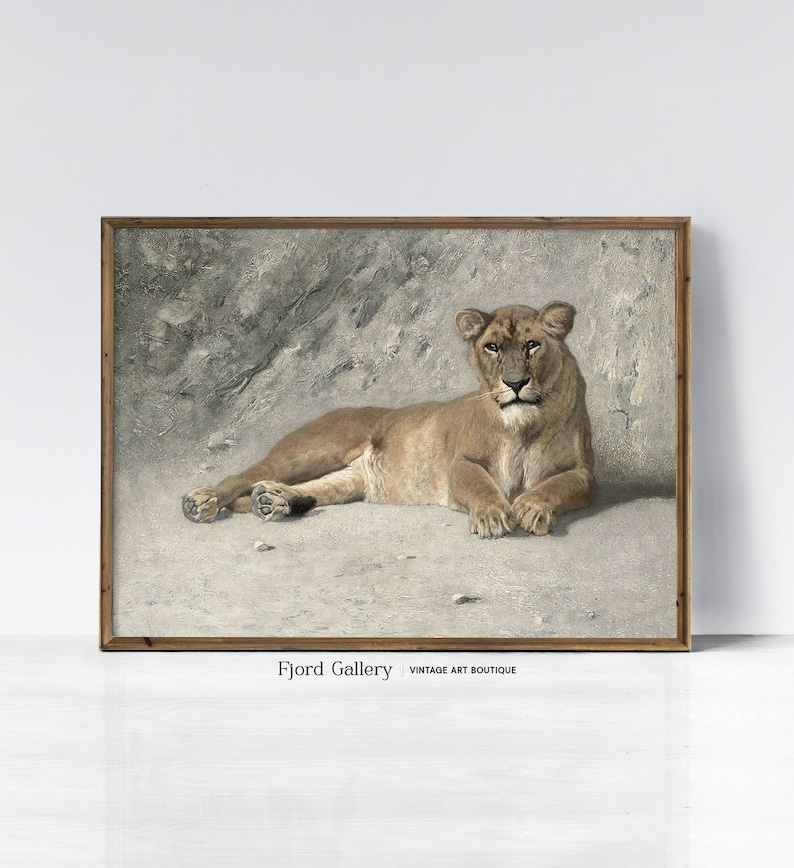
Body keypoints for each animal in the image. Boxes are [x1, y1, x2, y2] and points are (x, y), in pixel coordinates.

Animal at [182, 302, 596, 538]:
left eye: (532, 345)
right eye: (492, 347)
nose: (515, 383)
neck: (523, 426)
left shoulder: (584, 473)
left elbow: (558, 485)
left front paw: (533, 506)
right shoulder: (460, 463)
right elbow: (479, 483)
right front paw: (493, 515)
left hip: (350, 480)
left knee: (312, 488)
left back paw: (274, 501)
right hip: (313, 450)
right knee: (249, 474)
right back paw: (202, 501)